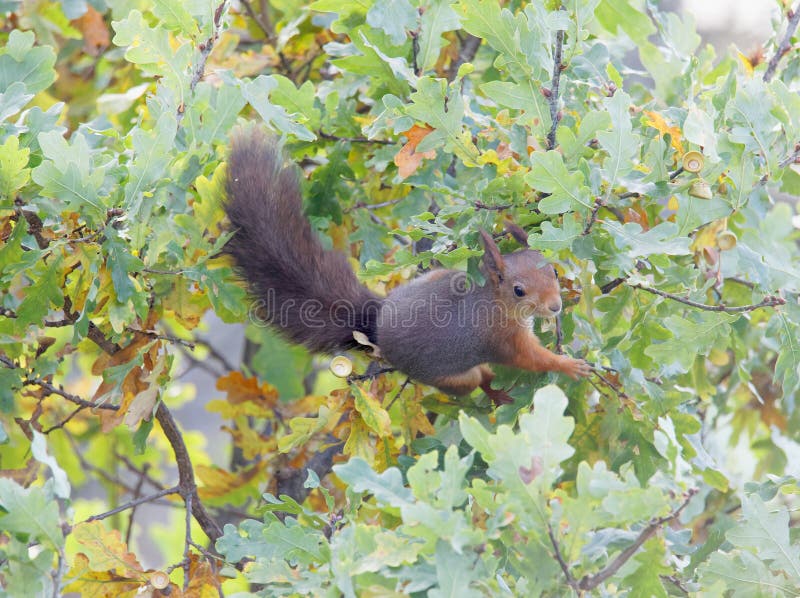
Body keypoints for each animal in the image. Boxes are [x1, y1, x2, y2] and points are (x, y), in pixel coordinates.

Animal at [223, 129, 591, 404]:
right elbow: (531, 359)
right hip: (453, 376)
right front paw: (569, 365)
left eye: (553, 271)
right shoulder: (502, 340)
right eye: (518, 290)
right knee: (477, 380)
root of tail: (376, 326)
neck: (495, 301)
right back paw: (495, 393)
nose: (555, 306)